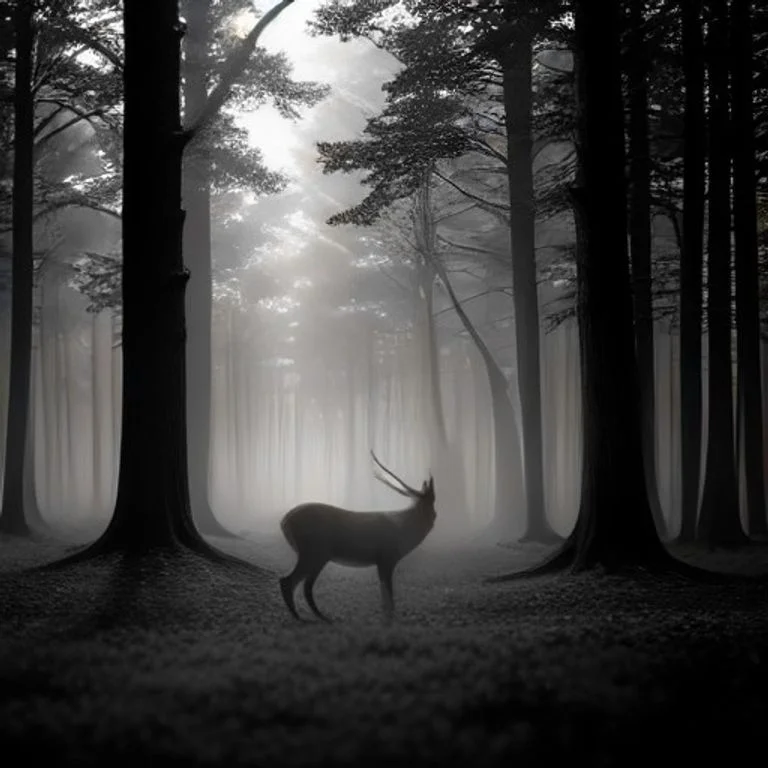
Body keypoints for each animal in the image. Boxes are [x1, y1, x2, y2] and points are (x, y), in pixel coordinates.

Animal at [278, 451, 437, 623]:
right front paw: (389, 619)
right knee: (290, 581)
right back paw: (303, 618)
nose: (435, 516)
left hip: (316, 554)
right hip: (313, 551)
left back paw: (319, 617)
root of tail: (284, 522)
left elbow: (384, 594)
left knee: (302, 584)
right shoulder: (386, 557)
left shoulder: (383, 560)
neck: (404, 532)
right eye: (433, 502)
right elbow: (388, 594)